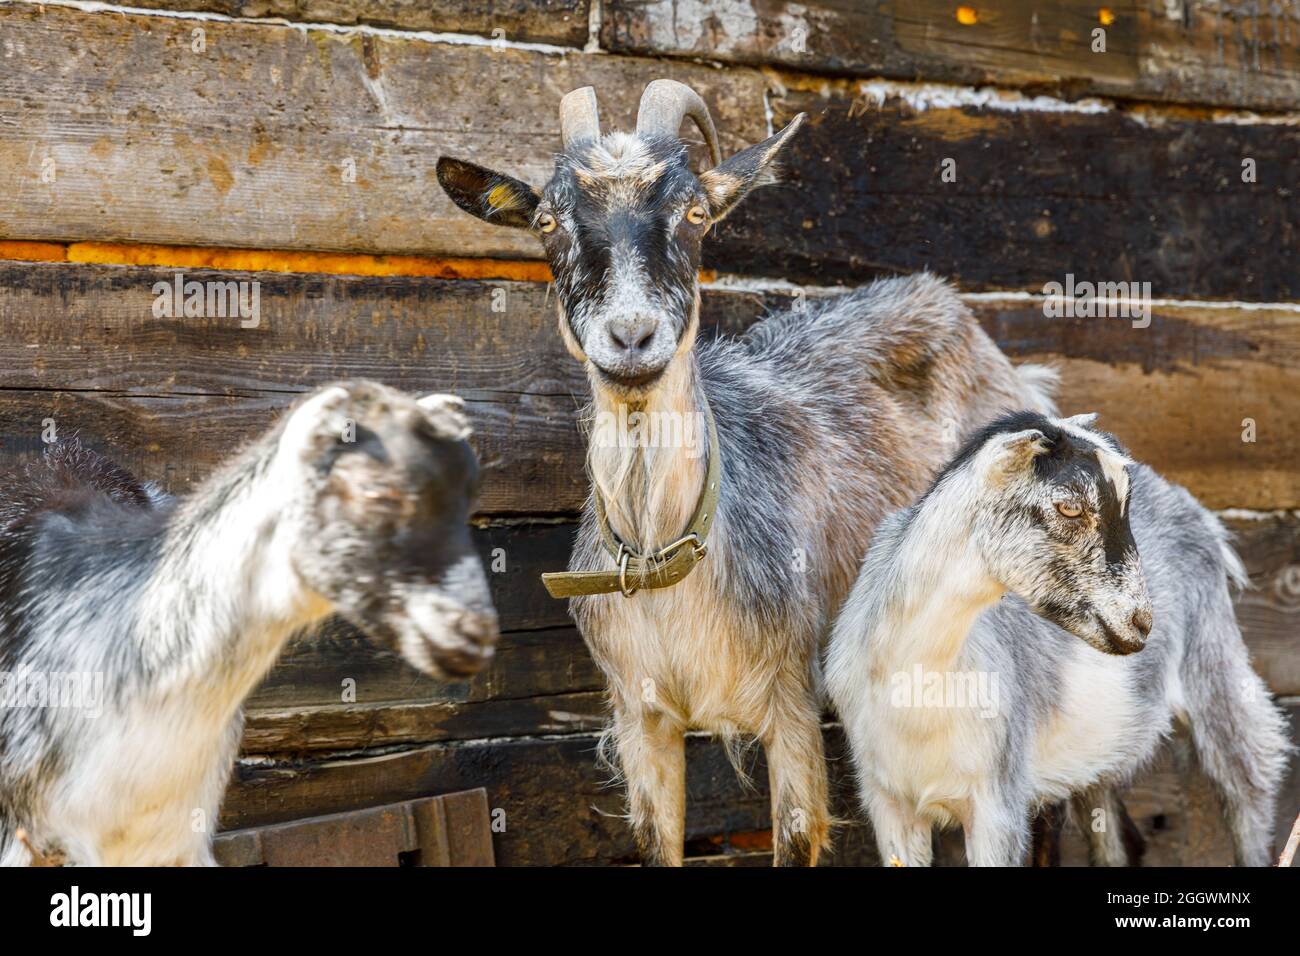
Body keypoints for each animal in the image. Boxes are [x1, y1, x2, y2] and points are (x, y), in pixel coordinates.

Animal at [437, 80, 1056, 865]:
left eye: (696, 212)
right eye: (548, 220)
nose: (631, 337)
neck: (666, 558)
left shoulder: (790, 702)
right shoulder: (642, 720)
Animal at [825, 411, 1291, 866]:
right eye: (1068, 507)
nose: (1141, 622)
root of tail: (1194, 507)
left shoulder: (999, 801)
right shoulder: (888, 803)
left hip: (1216, 665)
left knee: (1249, 780)